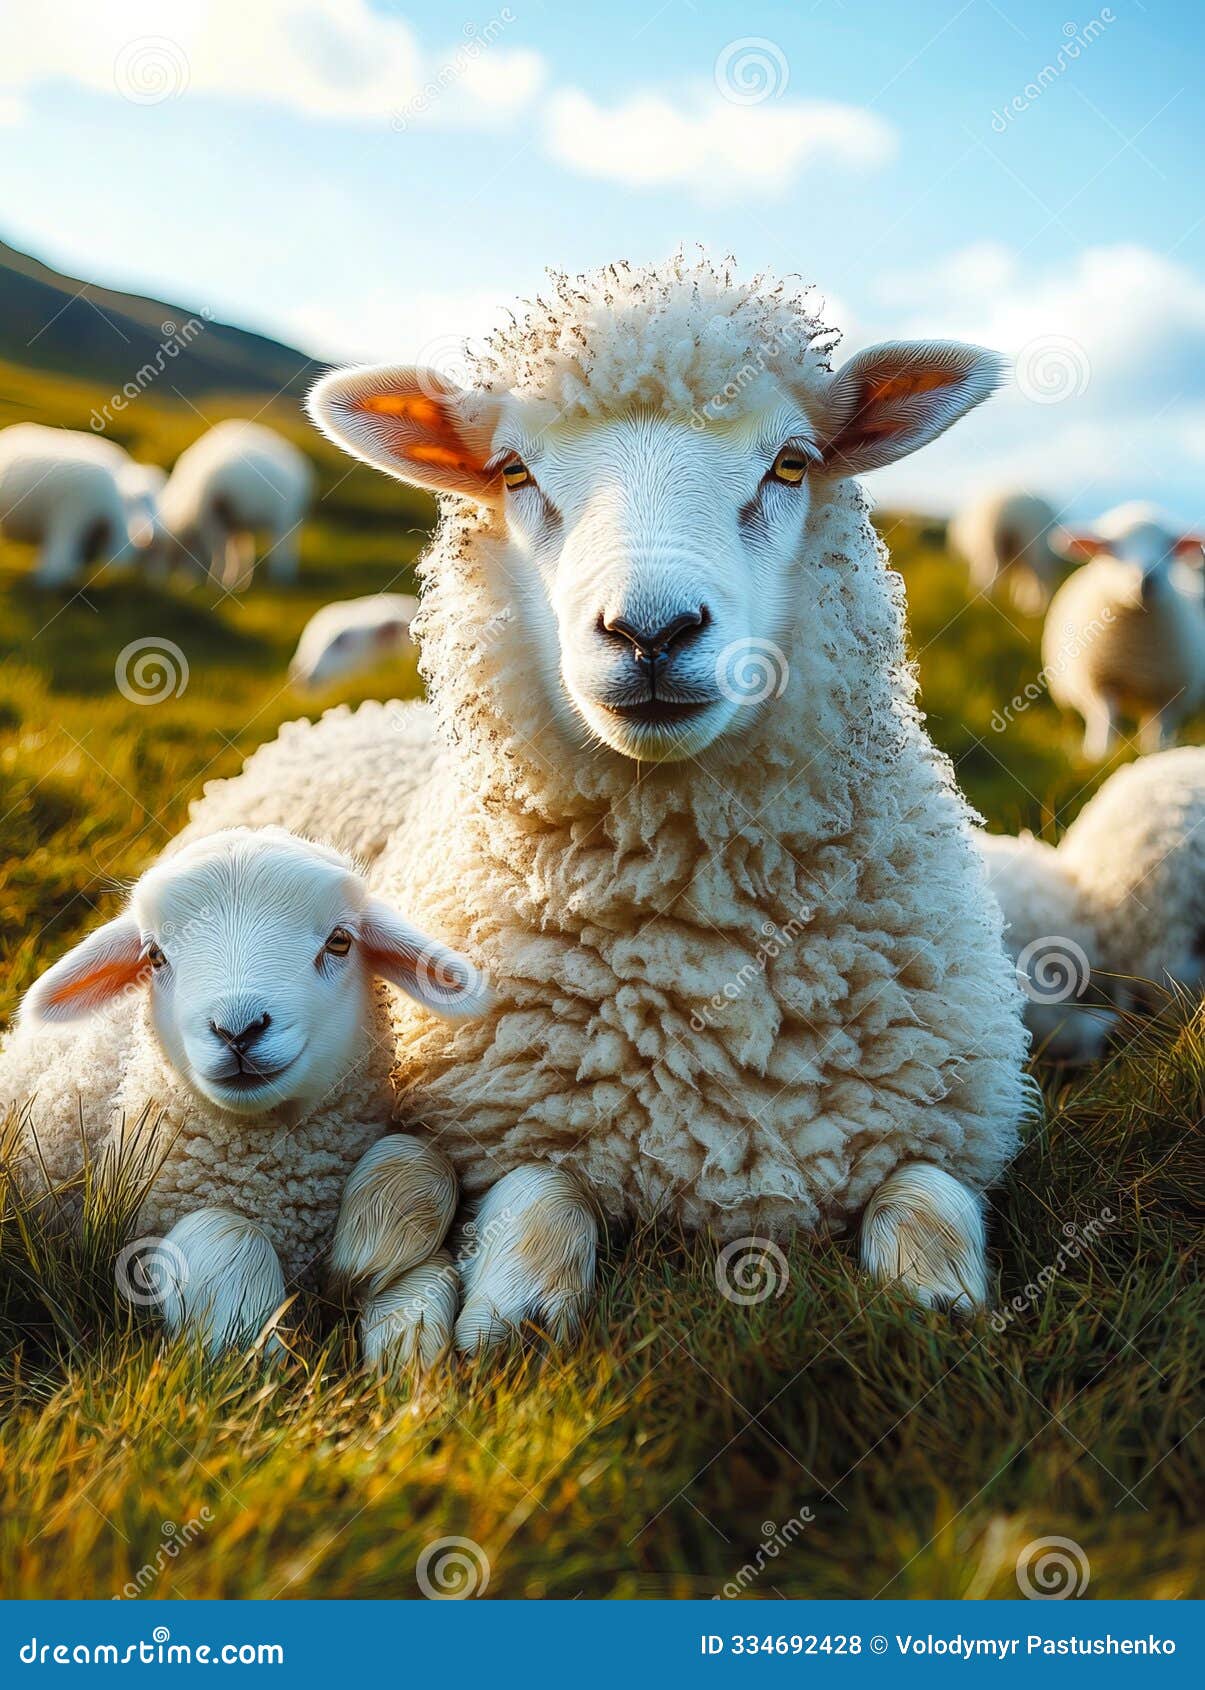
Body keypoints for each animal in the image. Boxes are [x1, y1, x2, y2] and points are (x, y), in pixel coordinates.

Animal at [2, 826, 489, 1360]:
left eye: (340, 941)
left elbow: (424, 1161)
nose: (237, 1031)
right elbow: (229, 1231)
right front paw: (252, 1352)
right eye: (155, 956)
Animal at [157, 420, 314, 589]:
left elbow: (220, 550)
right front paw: (234, 582)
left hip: (283, 516)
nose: (181, 583)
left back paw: (281, 576)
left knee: (283, 547)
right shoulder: (232, 522)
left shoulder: (212, 519)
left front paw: (215, 582)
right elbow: (236, 551)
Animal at [1042, 508, 1205, 758]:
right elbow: (1106, 719)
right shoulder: (1102, 683)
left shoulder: (1170, 692)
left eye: (1169, 547)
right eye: (1109, 548)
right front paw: (1100, 753)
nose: (1148, 578)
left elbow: (1161, 726)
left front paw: (1156, 752)